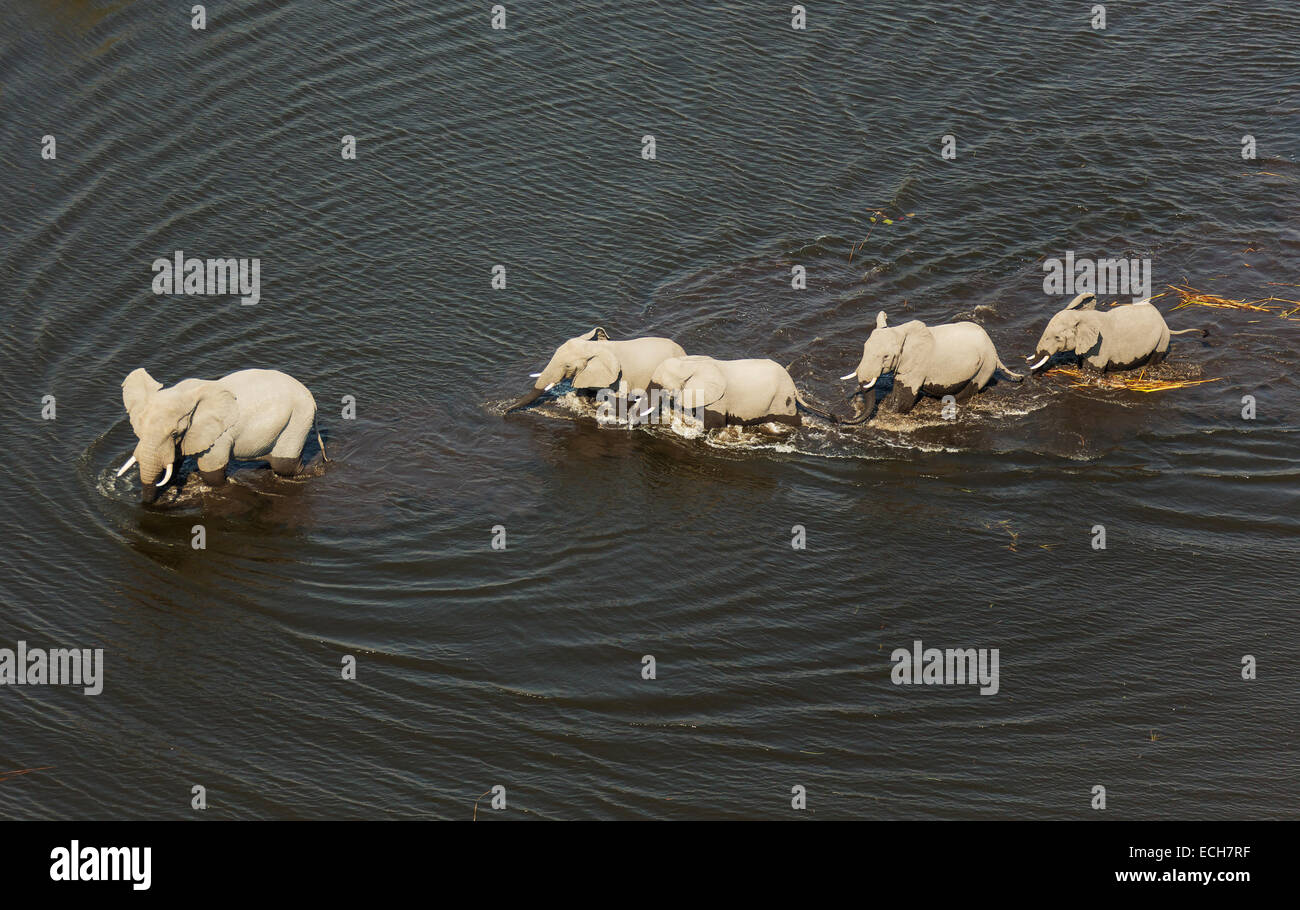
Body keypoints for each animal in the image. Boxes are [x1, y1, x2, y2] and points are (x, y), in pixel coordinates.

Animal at [116, 368, 326, 503]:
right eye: (138, 430)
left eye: (174, 432)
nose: (146, 503)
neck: (184, 394)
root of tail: (312, 398)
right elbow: (174, 463)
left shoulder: (218, 436)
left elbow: (212, 475)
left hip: (298, 418)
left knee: (284, 466)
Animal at [642, 355, 837, 428]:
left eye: (660, 387)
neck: (693, 363)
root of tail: (794, 385)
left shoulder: (718, 400)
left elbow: (714, 423)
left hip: (782, 398)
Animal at [840, 311, 1023, 421]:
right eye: (864, 348)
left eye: (886, 356)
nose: (840, 418)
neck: (901, 333)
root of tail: (994, 348)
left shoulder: (917, 364)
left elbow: (905, 395)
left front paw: (889, 412)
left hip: (986, 364)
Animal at [1027, 292, 1208, 374]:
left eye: (1057, 337)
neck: (1083, 316)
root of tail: (1163, 320)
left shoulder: (1100, 348)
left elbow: (1091, 371)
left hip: (1162, 338)